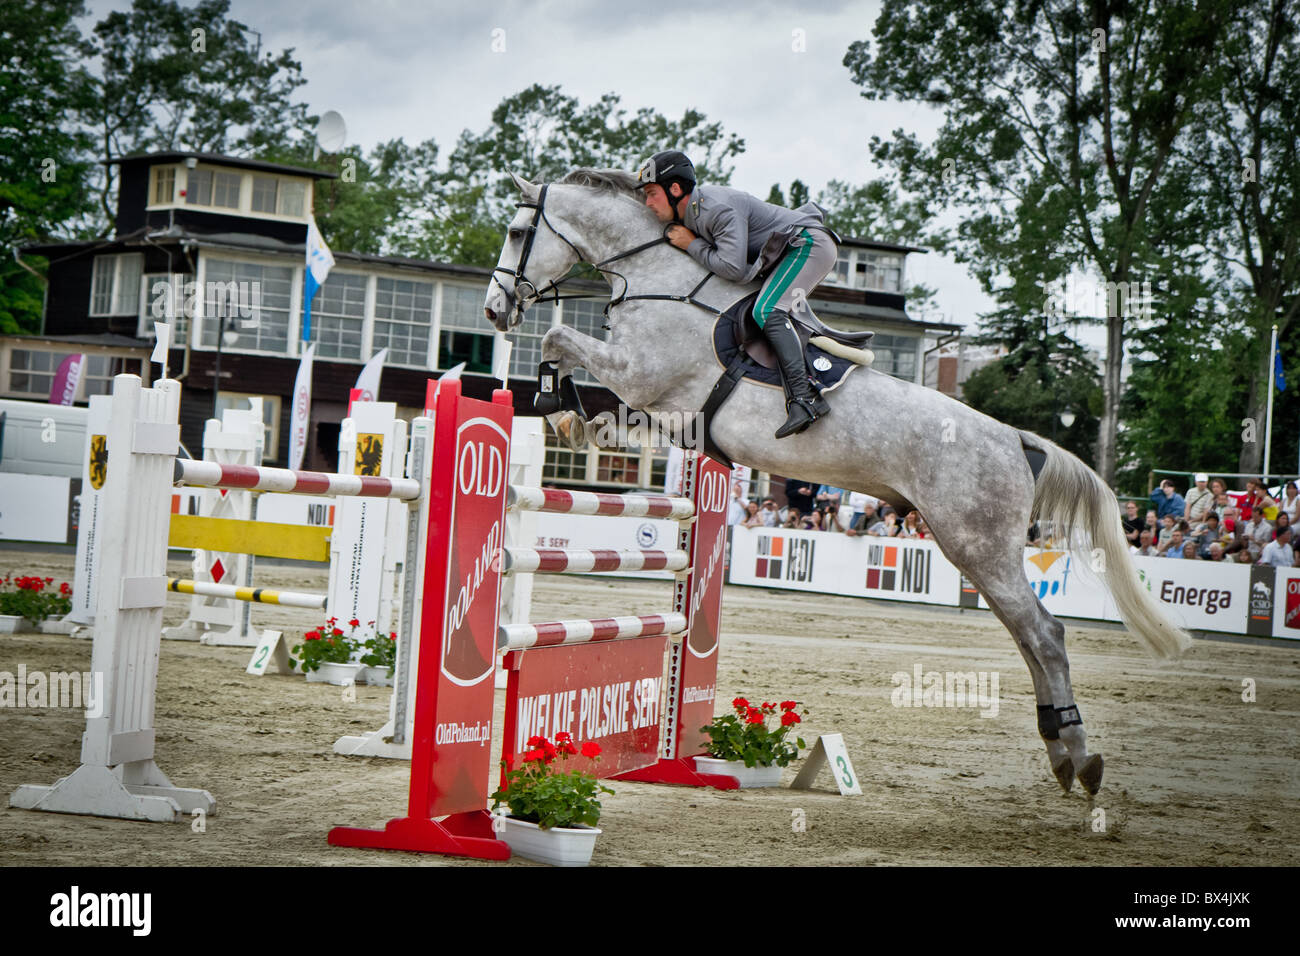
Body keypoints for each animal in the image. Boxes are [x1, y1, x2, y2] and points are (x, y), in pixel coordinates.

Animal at [482, 167, 1192, 797]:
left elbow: (559, 337)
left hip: (978, 545)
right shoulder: (658, 406)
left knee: (1045, 635)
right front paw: (572, 419)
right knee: (1031, 637)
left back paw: (1079, 756)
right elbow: (598, 402)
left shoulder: (643, 377)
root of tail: (1015, 440)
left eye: (517, 232)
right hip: (977, 552)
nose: (493, 309)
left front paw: (558, 403)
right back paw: (1062, 753)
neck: (661, 279)